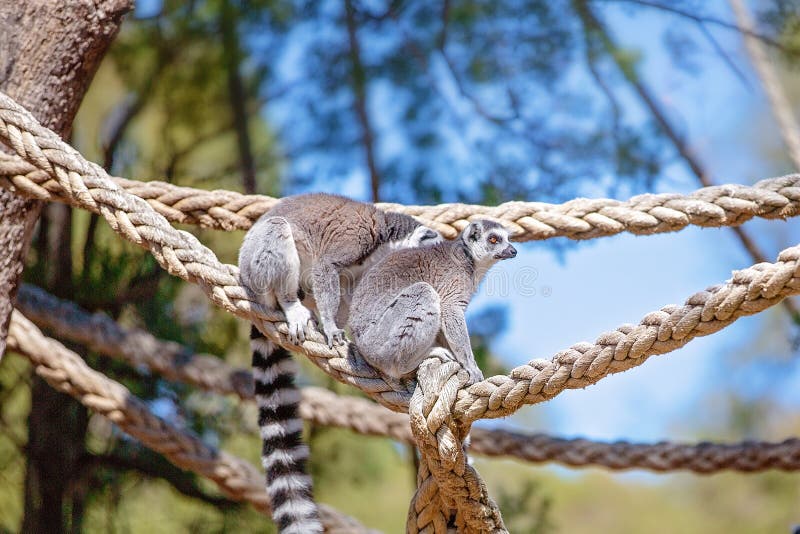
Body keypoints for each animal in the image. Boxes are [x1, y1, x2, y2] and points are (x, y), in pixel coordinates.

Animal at [238, 193, 441, 533]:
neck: (384, 237)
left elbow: (351, 295)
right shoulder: (354, 241)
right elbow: (327, 268)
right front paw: (333, 328)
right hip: (255, 266)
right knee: (278, 233)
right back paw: (290, 305)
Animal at [348, 219, 517, 385]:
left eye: (507, 239)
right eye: (493, 239)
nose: (513, 251)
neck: (469, 258)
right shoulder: (455, 278)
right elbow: (451, 310)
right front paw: (470, 366)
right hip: (380, 341)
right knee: (424, 292)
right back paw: (410, 361)